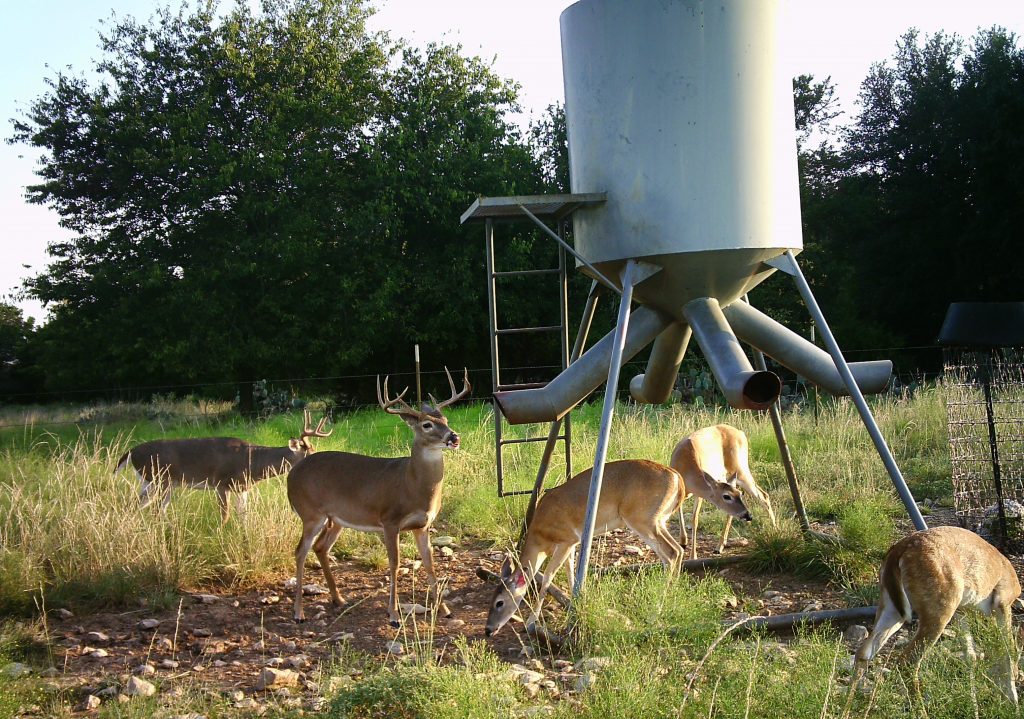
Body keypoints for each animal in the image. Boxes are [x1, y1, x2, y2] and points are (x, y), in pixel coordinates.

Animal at [116, 409, 332, 522]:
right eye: (309, 452)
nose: (321, 463)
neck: (252, 462)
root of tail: (131, 452)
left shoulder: (242, 488)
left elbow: (244, 516)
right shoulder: (220, 483)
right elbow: (225, 516)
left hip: (156, 482)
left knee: (139, 506)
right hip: (158, 479)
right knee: (147, 508)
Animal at [287, 367, 470, 627]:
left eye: (445, 421)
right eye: (426, 425)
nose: (454, 437)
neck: (413, 485)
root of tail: (292, 474)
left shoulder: (423, 525)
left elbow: (430, 564)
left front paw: (444, 610)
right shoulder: (390, 520)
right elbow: (395, 564)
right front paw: (393, 615)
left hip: (336, 519)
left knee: (321, 547)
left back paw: (338, 599)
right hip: (310, 513)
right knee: (300, 551)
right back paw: (298, 612)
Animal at [485, 459, 684, 637]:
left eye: (499, 603)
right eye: (491, 599)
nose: (488, 630)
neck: (541, 537)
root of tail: (677, 478)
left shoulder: (567, 539)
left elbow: (549, 576)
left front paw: (531, 621)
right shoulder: (573, 543)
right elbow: (570, 573)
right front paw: (576, 605)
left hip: (641, 517)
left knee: (671, 552)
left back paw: (656, 613)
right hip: (658, 520)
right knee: (678, 550)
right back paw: (671, 600)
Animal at [669, 424, 776, 560]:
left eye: (740, 495)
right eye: (727, 496)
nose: (748, 515)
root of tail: (741, 433)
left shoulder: (700, 494)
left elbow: (694, 520)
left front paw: (693, 556)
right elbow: (679, 511)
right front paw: (683, 541)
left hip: (741, 469)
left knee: (764, 496)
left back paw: (775, 530)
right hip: (729, 476)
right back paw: (720, 546)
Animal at [853, 525, 1022, 705]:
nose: (1019, 677)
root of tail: (899, 550)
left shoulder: (962, 612)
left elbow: (971, 656)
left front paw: (973, 703)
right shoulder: (1003, 602)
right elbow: (1008, 650)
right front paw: (1013, 701)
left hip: (891, 608)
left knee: (863, 652)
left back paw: (852, 703)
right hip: (939, 608)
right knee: (907, 662)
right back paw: (921, 707)